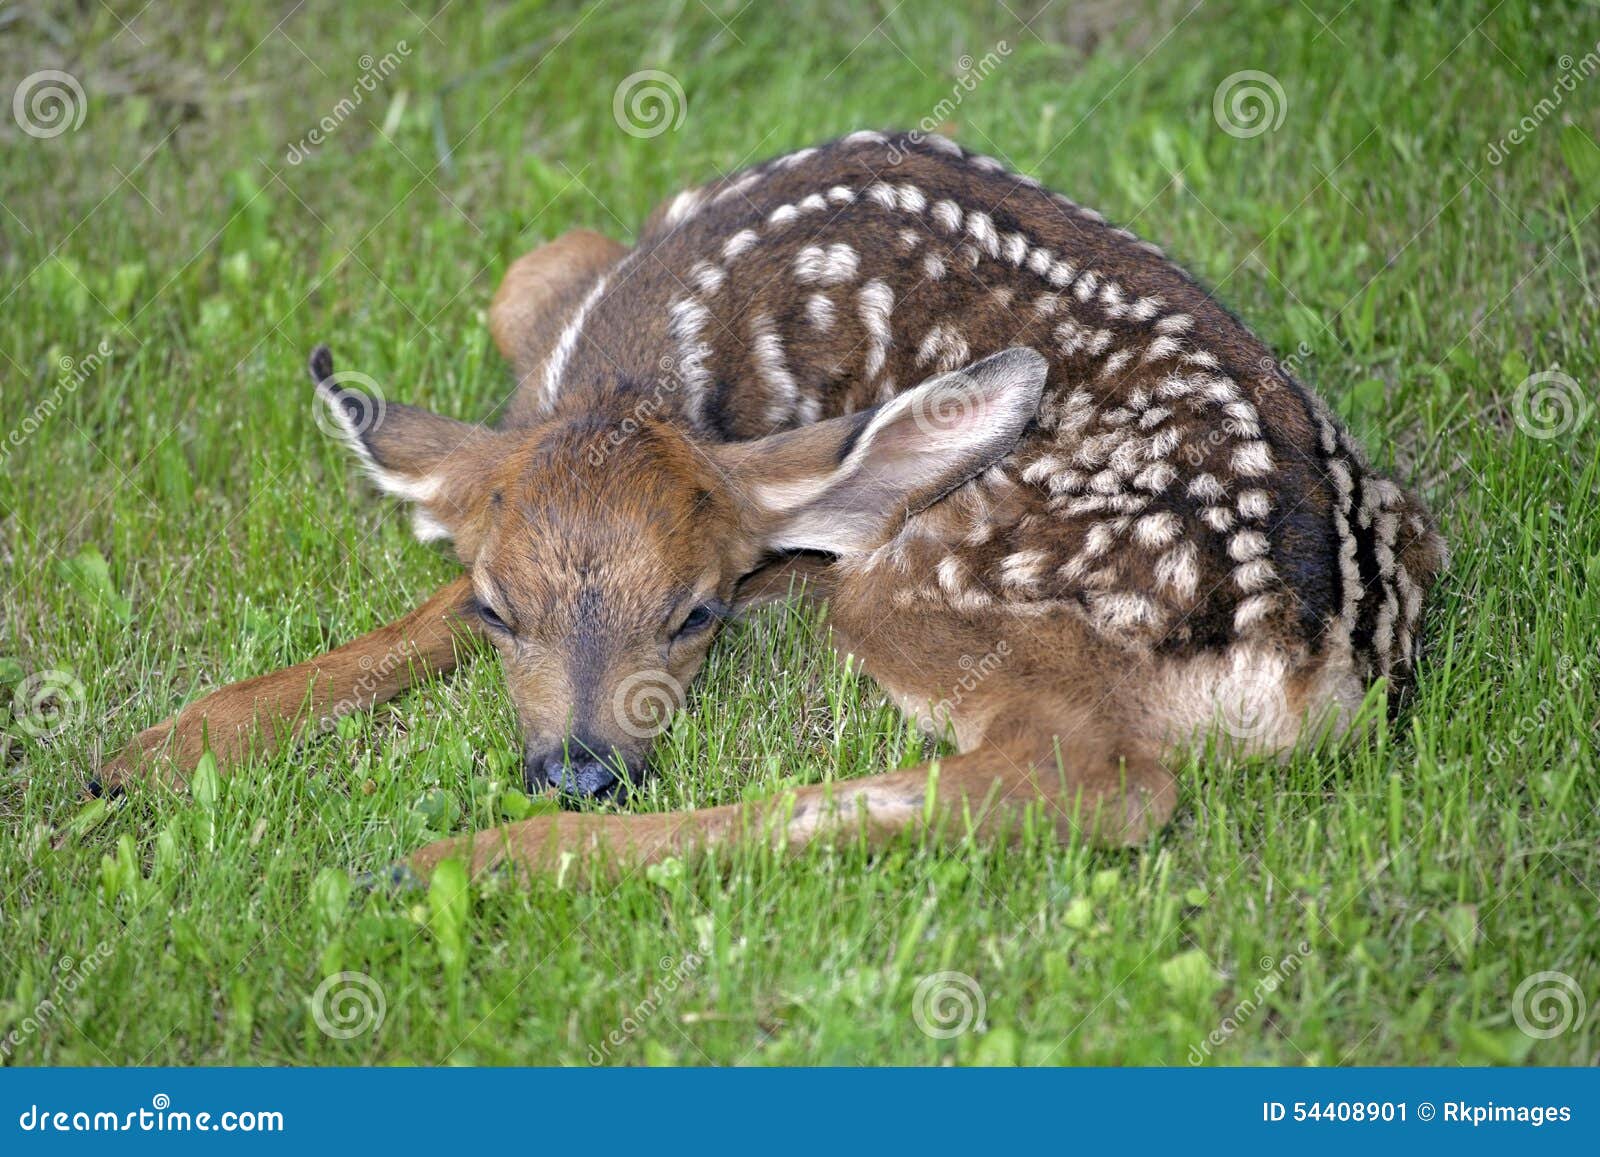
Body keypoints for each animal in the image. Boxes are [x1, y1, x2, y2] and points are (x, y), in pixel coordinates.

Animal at [98, 130, 1446, 883]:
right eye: (500, 611)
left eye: (696, 612)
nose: (578, 768)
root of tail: (1307, 664)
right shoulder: (555, 299)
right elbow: (520, 291)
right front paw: (158, 752)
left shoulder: (797, 528)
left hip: (922, 575)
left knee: (1077, 780)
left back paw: (467, 862)